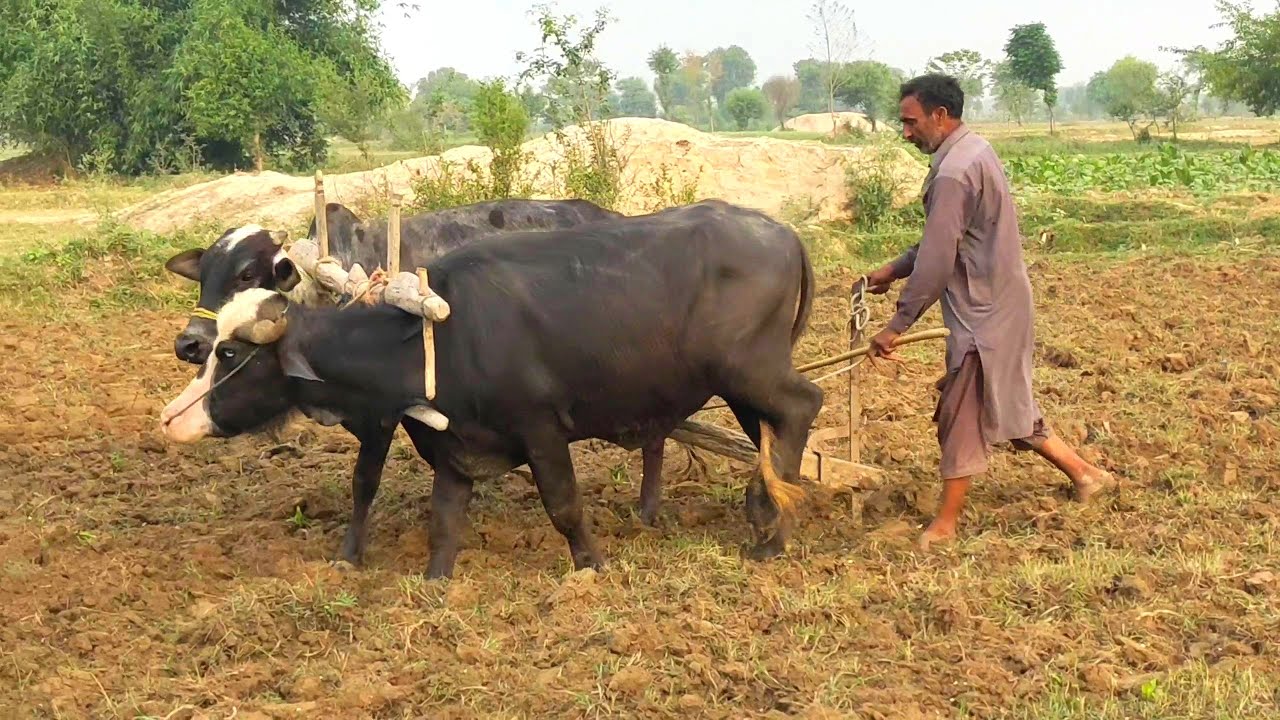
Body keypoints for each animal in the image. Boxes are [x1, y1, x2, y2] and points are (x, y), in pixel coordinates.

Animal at [158, 199, 823, 579]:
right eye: (207, 273)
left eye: (231, 354)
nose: (169, 417)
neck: (437, 334)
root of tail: (783, 233)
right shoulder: (449, 448)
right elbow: (442, 523)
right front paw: (430, 580)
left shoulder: (540, 430)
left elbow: (563, 504)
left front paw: (591, 566)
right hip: (735, 387)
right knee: (765, 433)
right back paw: (743, 510)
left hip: (751, 372)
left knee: (802, 407)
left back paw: (774, 531)